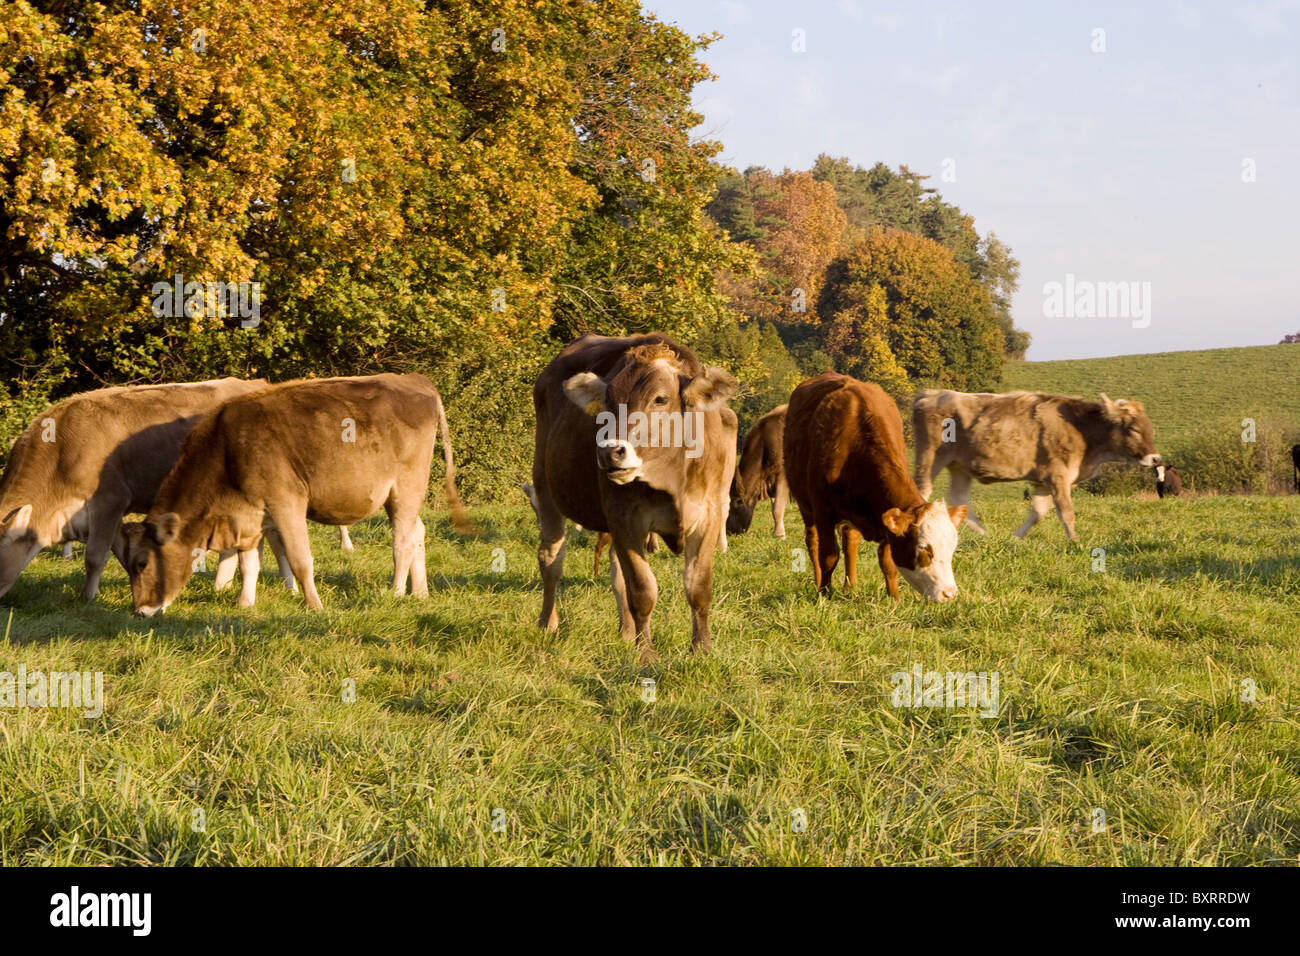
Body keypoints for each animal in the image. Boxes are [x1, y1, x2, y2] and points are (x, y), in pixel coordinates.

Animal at [117, 373, 470, 615]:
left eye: (142, 563)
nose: (140, 611)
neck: (227, 449)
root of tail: (413, 379)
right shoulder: (251, 513)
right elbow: (248, 564)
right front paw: (245, 604)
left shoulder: (286, 504)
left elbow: (300, 560)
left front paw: (314, 605)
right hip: (400, 496)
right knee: (418, 532)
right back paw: (420, 592)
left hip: (406, 487)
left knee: (403, 541)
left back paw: (397, 591)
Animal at [531, 333, 738, 663]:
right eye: (609, 402)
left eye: (660, 399)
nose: (609, 452)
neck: (673, 479)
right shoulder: (625, 517)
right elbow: (642, 590)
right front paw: (646, 655)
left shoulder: (709, 514)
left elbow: (698, 587)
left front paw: (702, 648)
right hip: (545, 487)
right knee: (551, 560)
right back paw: (547, 623)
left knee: (616, 575)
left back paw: (627, 632)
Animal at [727, 404, 789, 539]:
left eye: (737, 502)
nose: (729, 531)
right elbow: (774, 506)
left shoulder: (783, 473)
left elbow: (778, 507)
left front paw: (779, 535)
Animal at [784, 372, 967, 601]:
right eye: (924, 549)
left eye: (952, 547)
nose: (949, 593)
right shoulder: (822, 509)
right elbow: (828, 555)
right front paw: (824, 594)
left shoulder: (886, 515)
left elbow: (887, 562)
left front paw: (894, 599)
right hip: (805, 505)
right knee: (813, 541)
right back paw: (819, 582)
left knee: (850, 540)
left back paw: (850, 586)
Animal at [913, 390, 1160, 541]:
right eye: (1133, 429)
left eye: (1150, 427)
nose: (1156, 458)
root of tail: (930, 394)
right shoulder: (1058, 477)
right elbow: (1066, 512)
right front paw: (1075, 541)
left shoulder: (1043, 481)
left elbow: (1038, 513)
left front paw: (1014, 539)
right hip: (931, 458)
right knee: (922, 492)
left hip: (959, 466)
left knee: (959, 499)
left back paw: (985, 535)